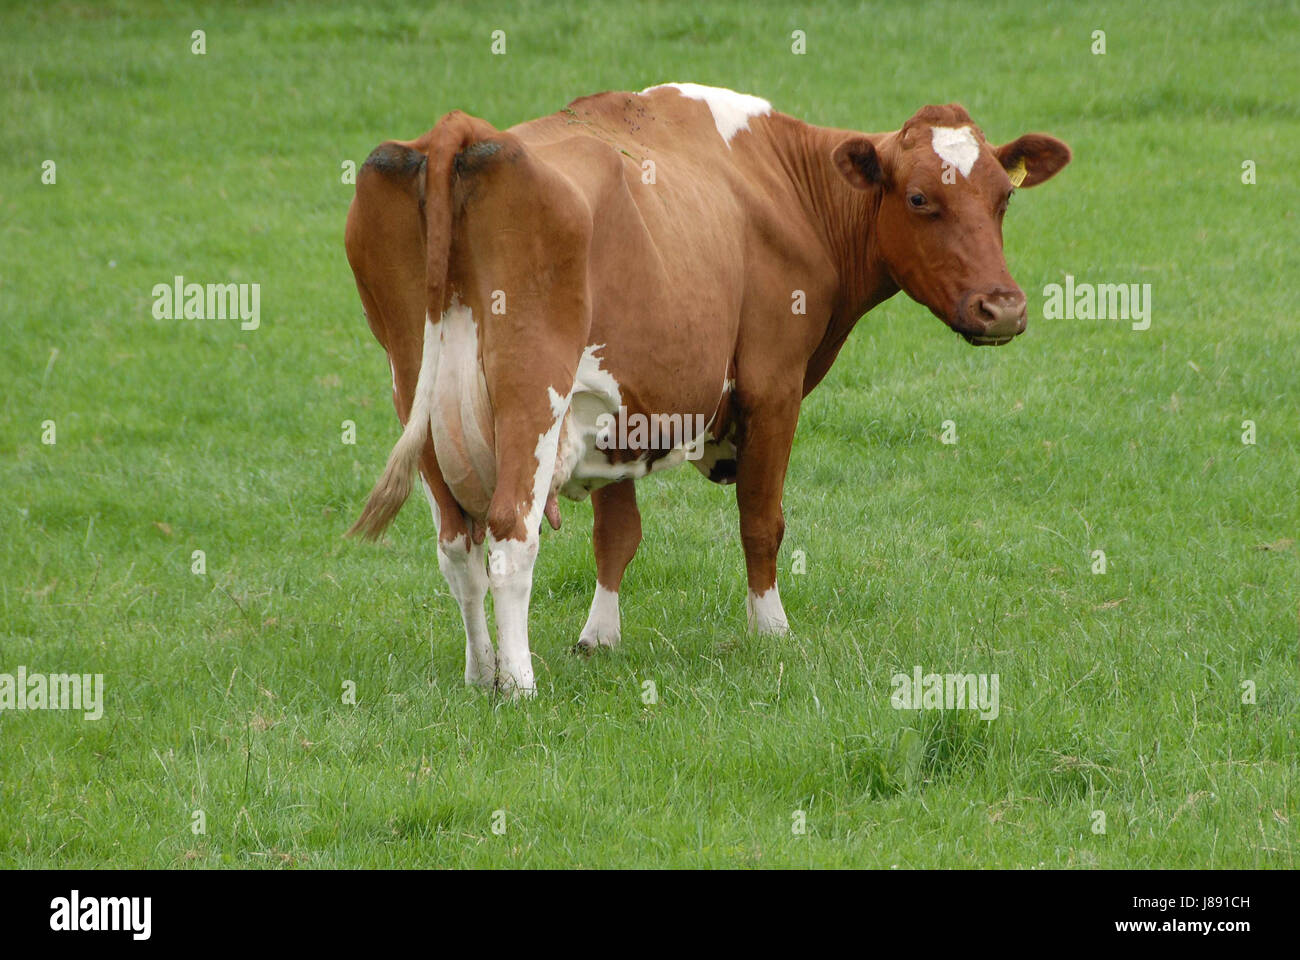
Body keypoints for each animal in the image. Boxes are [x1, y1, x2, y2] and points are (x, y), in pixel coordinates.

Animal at [344, 83, 1071, 696]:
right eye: (920, 199)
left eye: (1004, 198)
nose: (1003, 308)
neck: (782, 179)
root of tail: (464, 131)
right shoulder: (773, 385)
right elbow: (762, 521)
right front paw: (771, 631)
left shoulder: (621, 406)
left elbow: (617, 533)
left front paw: (599, 638)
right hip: (531, 393)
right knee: (509, 538)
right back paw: (517, 683)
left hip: (417, 397)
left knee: (457, 548)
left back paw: (481, 671)